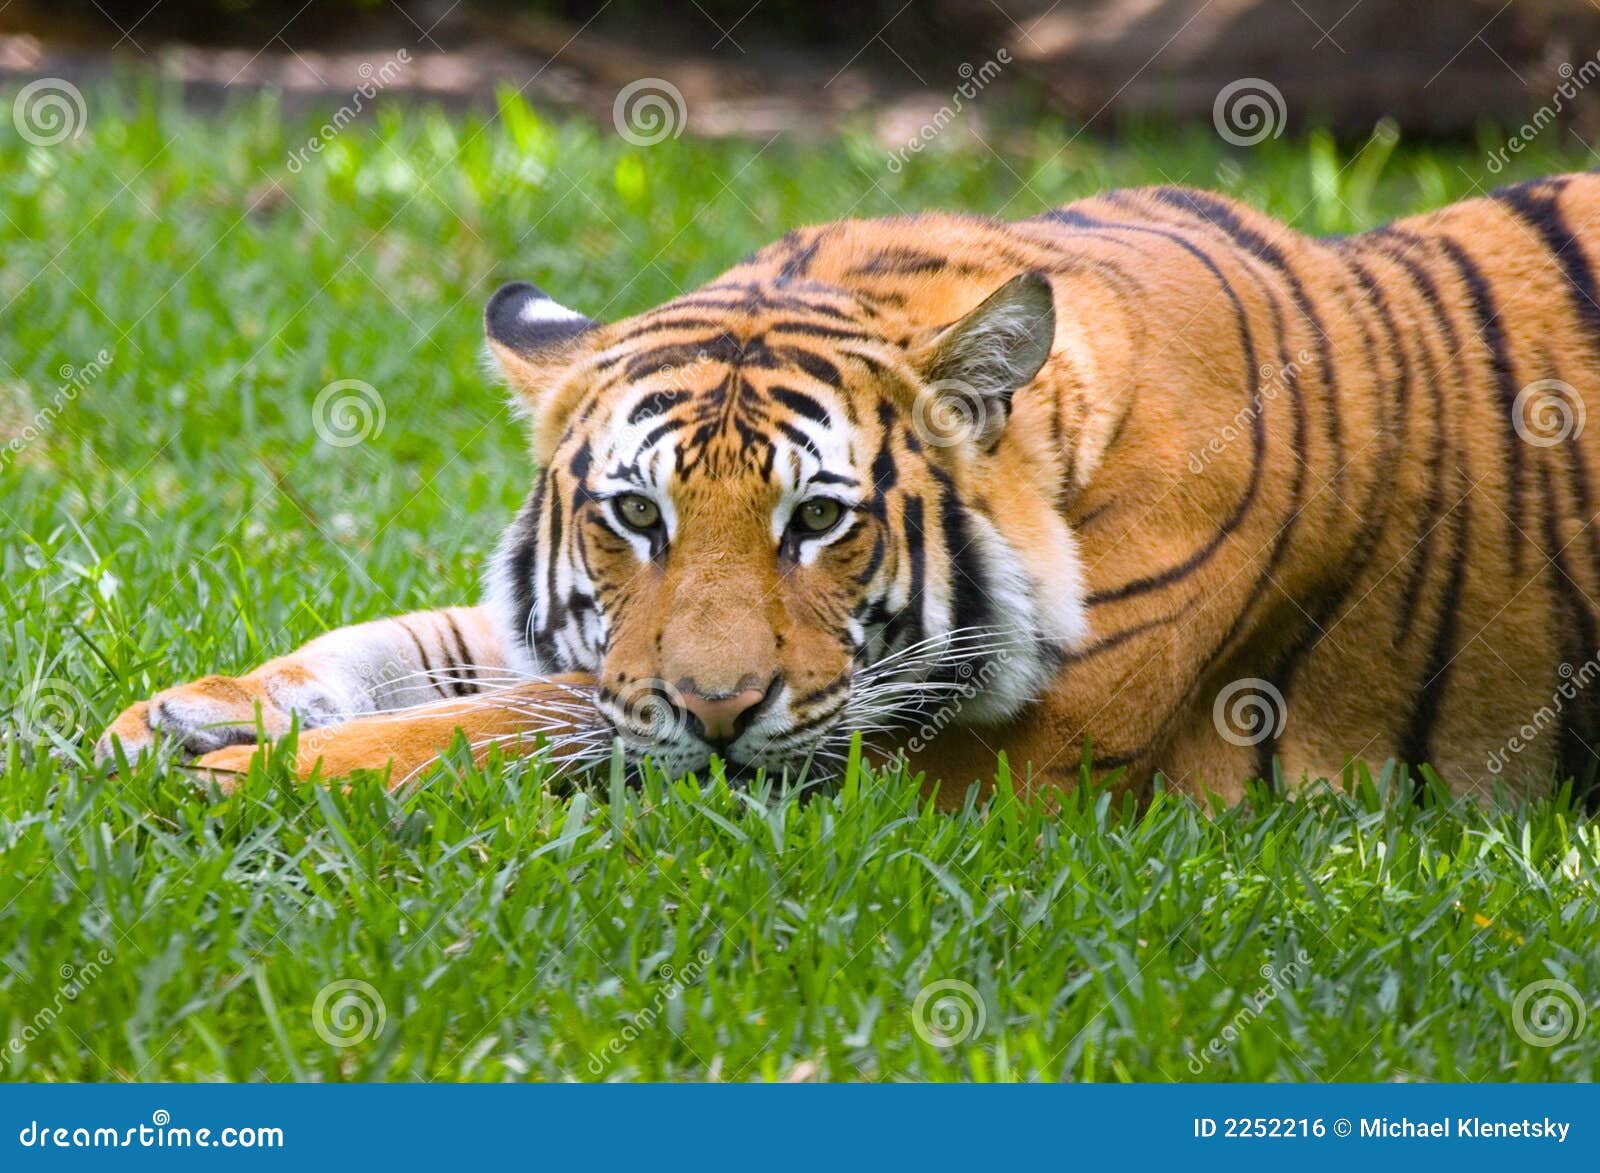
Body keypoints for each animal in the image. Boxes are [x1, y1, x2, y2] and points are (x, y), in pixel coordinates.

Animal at [98, 172, 1600, 807]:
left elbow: (517, 720)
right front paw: (180, 714)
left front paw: (243, 774)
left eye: (818, 521)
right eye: (635, 515)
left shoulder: (952, 755)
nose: (717, 713)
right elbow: (431, 646)